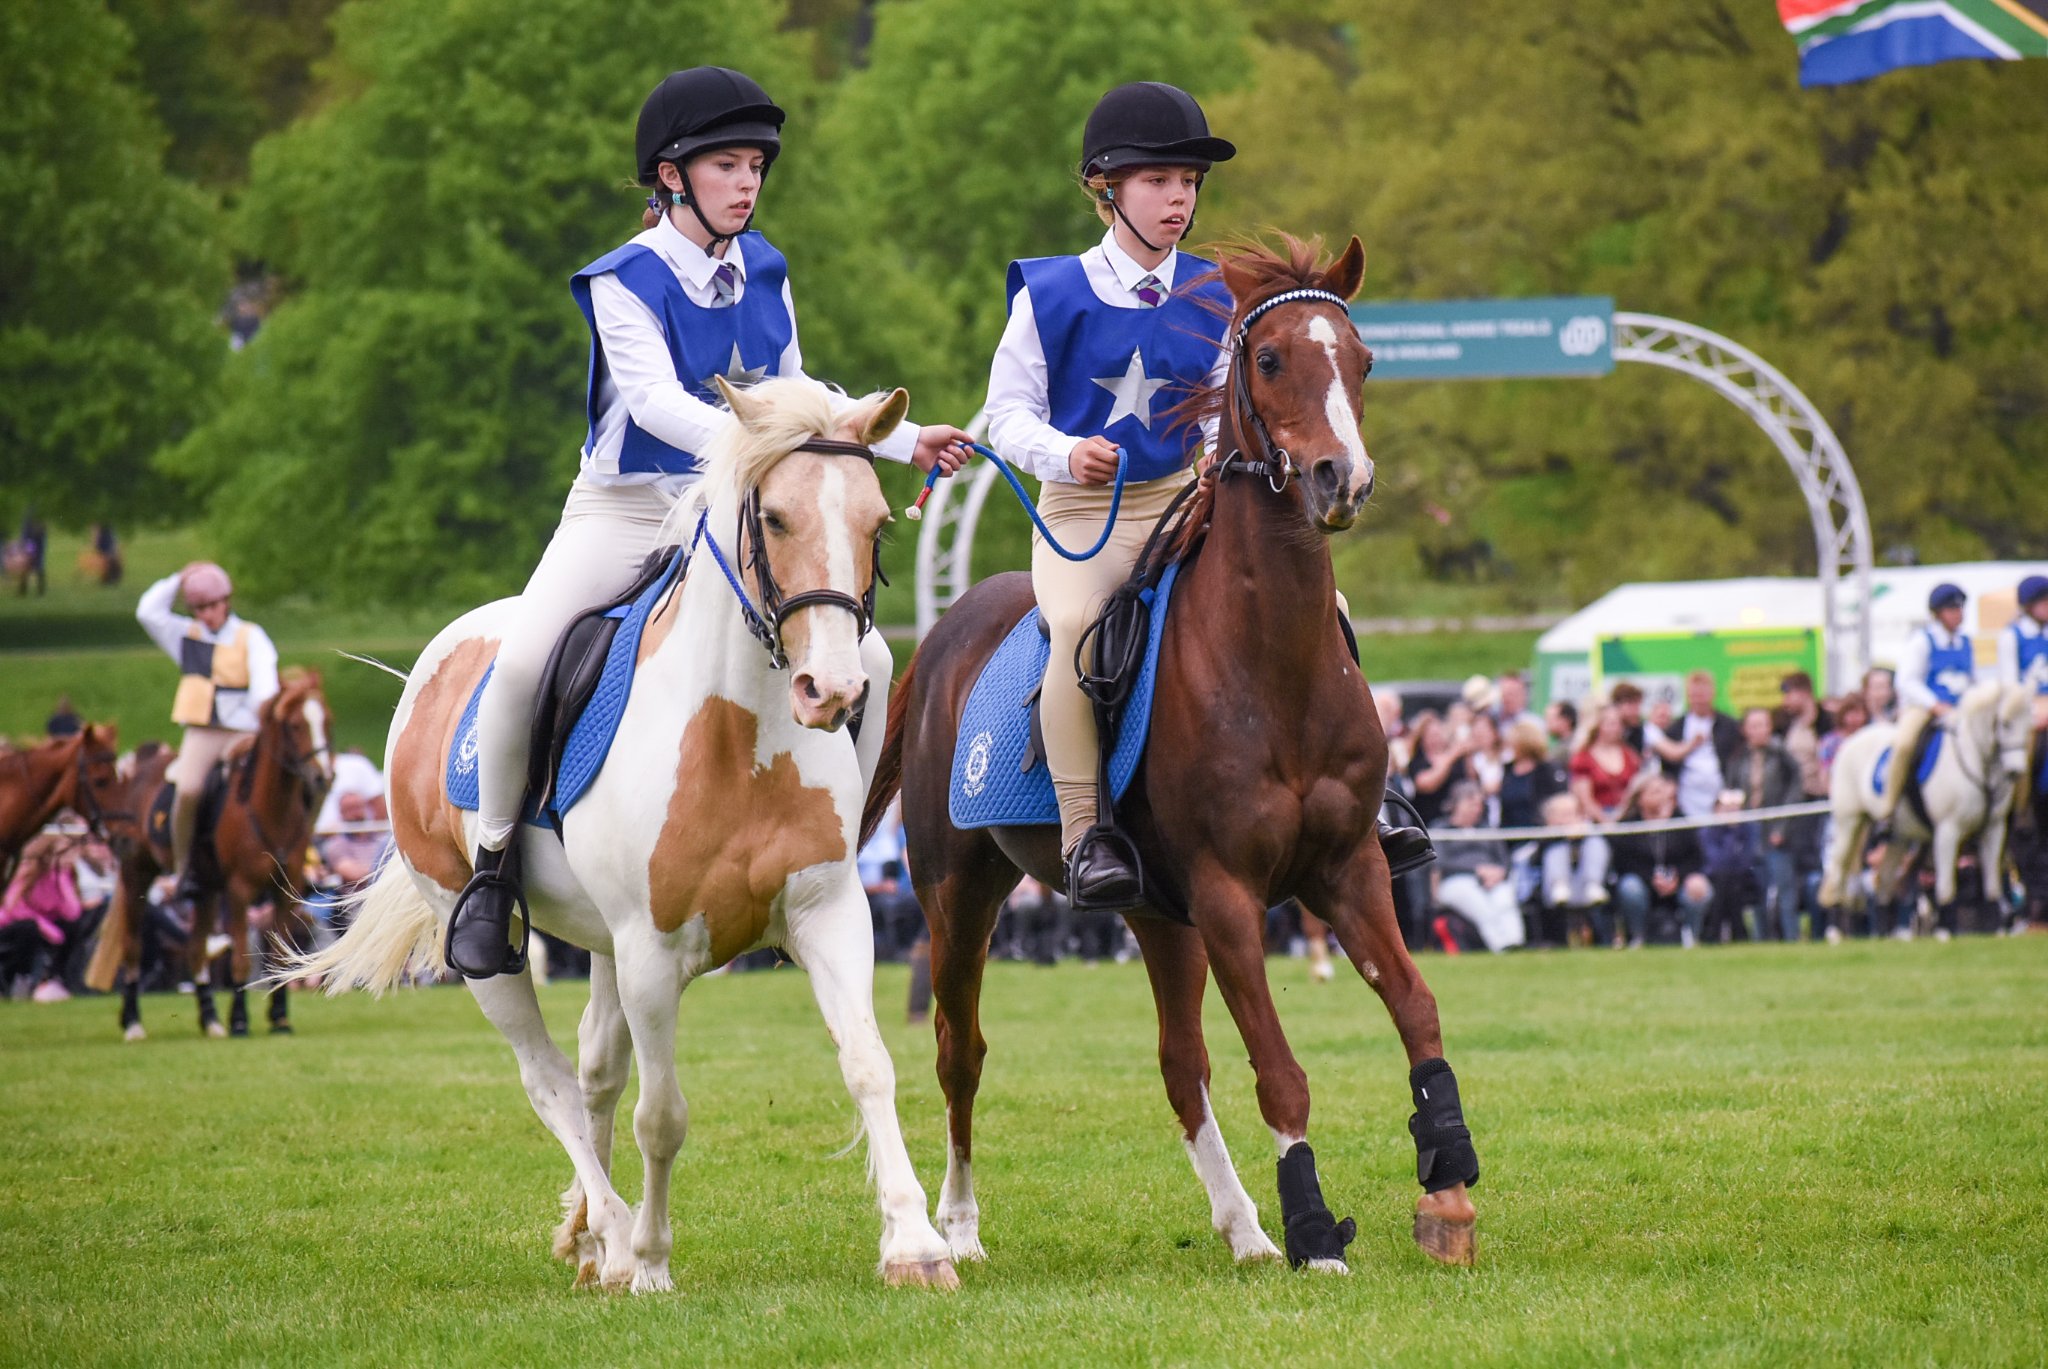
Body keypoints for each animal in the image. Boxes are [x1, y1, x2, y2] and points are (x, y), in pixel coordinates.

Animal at [83, 674, 335, 1039]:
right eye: (294, 725)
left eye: (327, 720)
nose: (323, 776)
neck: (269, 810)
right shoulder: (239, 892)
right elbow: (241, 958)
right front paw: (241, 1020)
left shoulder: (284, 892)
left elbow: (279, 957)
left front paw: (280, 1019)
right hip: (137, 873)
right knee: (133, 947)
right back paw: (132, 1021)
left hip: (205, 889)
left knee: (195, 949)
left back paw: (211, 1019)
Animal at [287, 376, 957, 1295]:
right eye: (776, 518)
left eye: (877, 522)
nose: (834, 691)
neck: (737, 734)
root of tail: (435, 661)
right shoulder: (650, 949)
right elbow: (663, 1113)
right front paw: (648, 1258)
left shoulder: (829, 915)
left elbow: (868, 1063)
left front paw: (915, 1244)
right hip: (490, 941)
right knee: (549, 1080)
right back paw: (608, 1229)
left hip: (600, 941)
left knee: (594, 1071)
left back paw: (586, 1232)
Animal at [863, 236, 1480, 1275]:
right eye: (1267, 358)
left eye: (1362, 360)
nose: (1340, 480)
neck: (1272, 662)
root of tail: (947, 630)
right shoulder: (1230, 892)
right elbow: (1279, 1071)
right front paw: (1318, 1232)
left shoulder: (1348, 869)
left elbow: (1418, 1007)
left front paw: (1447, 1188)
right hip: (960, 894)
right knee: (959, 1049)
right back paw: (959, 1228)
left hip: (1157, 912)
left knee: (1179, 1064)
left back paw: (1244, 1230)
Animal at [1820, 681, 2033, 929]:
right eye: (2005, 723)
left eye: (2028, 724)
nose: (2016, 772)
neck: (1976, 762)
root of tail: (1852, 739)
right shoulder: (1948, 830)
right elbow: (1946, 888)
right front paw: (1945, 930)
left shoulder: (1994, 829)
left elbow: (1992, 888)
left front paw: (1994, 930)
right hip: (1849, 822)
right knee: (1837, 872)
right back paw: (1836, 926)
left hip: (1899, 836)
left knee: (1884, 881)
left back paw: (1883, 932)